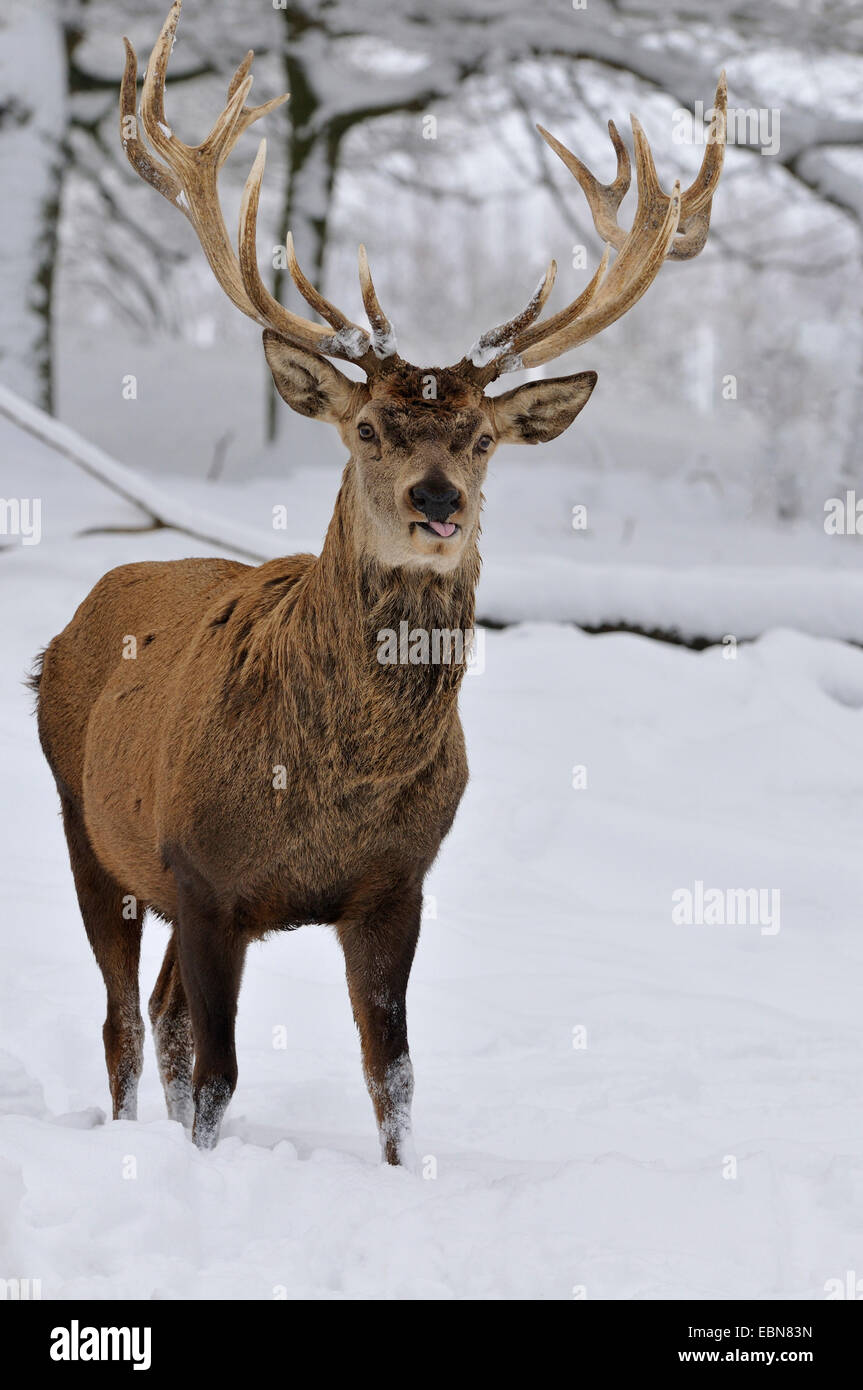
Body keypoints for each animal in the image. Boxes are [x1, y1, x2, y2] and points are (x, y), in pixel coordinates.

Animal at [32, 1, 725, 1159]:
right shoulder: (205, 874)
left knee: (161, 1017)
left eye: (483, 439)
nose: (435, 502)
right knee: (126, 1024)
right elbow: (217, 1077)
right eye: (367, 428)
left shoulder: (395, 885)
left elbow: (391, 1076)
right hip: (92, 829)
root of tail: (60, 633)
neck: (332, 787)